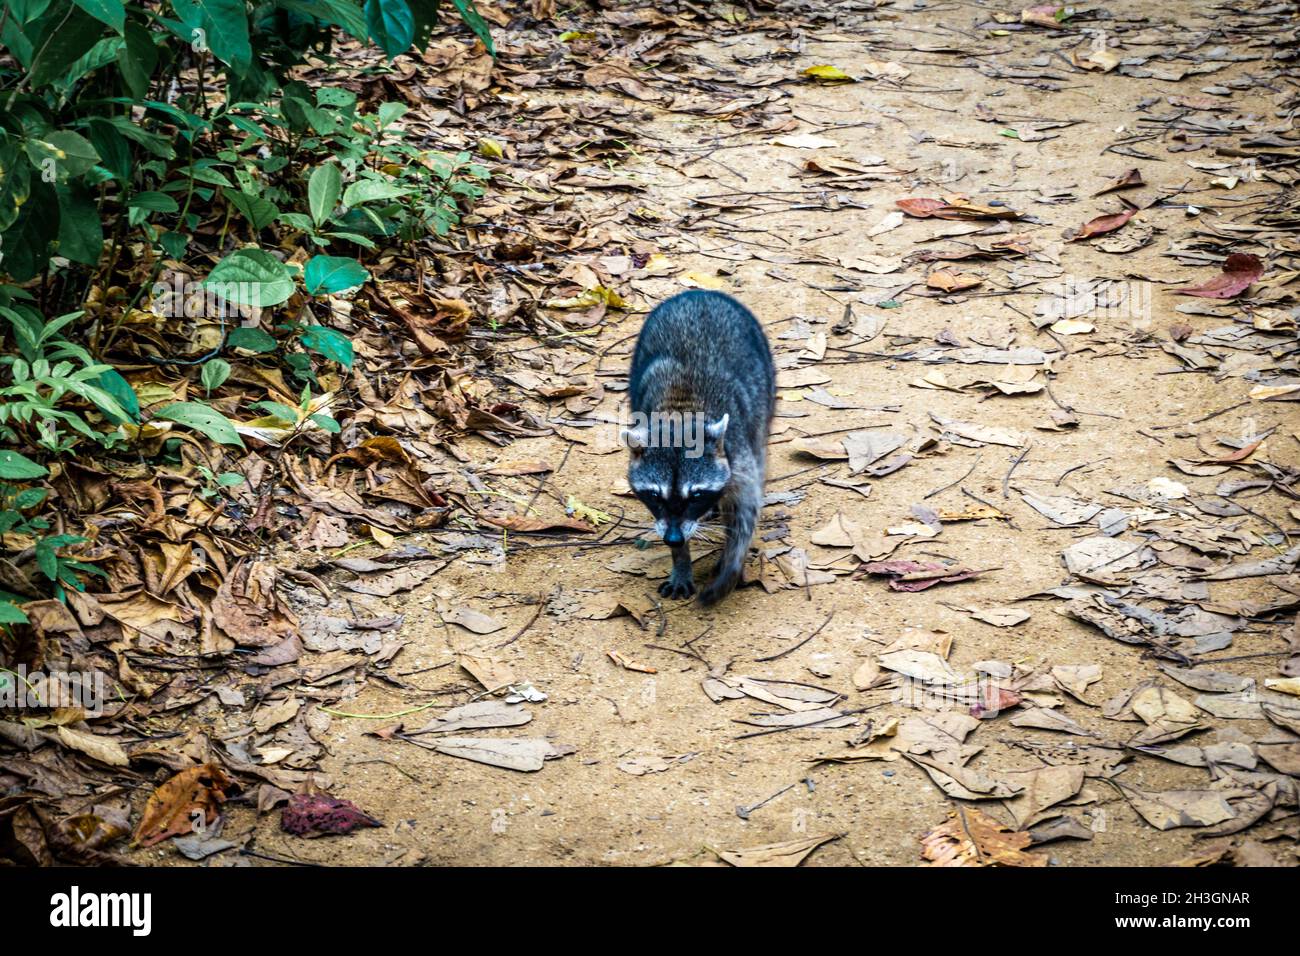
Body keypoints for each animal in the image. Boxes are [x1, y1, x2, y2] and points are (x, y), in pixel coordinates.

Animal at [624, 290, 775, 606]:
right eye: (655, 497)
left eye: (695, 496)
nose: (673, 539)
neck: (680, 413)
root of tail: (700, 292)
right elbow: (667, 523)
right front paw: (680, 560)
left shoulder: (738, 453)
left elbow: (745, 512)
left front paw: (731, 565)